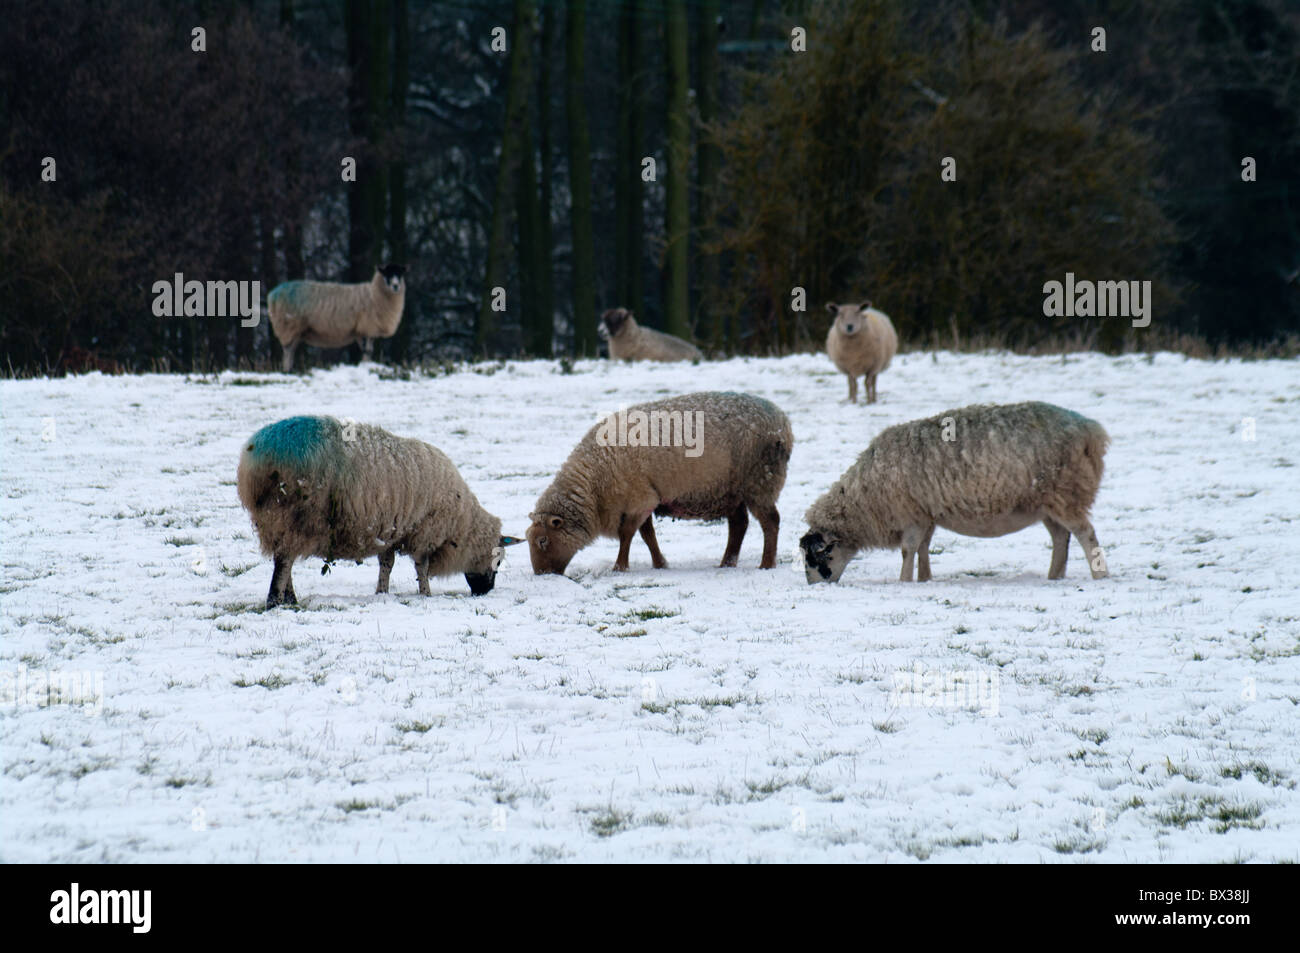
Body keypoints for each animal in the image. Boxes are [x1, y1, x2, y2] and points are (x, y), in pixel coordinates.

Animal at [236, 415, 521, 606]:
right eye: (497, 561)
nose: (485, 591)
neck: (460, 524)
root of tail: (255, 457)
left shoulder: (392, 528)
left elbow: (387, 564)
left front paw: (382, 592)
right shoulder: (425, 531)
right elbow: (421, 566)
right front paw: (426, 593)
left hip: (276, 521)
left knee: (283, 558)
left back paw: (288, 598)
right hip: (293, 515)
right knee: (284, 561)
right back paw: (277, 601)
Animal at [267, 265, 406, 372]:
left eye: (399, 275)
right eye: (388, 274)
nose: (395, 286)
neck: (374, 294)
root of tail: (273, 294)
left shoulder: (366, 330)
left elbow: (367, 350)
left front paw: (367, 365)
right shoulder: (367, 327)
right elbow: (367, 351)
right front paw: (367, 366)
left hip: (296, 330)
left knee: (291, 349)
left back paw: (290, 369)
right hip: (288, 325)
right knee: (287, 350)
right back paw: (287, 370)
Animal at [528, 392, 793, 574]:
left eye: (543, 540)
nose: (541, 575)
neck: (595, 482)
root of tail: (783, 422)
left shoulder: (640, 498)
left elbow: (627, 535)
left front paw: (620, 567)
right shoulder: (644, 498)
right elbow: (647, 535)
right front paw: (660, 563)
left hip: (760, 481)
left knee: (771, 522)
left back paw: (766, 564)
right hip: (731, 490)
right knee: (739, 525)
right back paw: (727, 563)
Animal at [800, 401, 1110, 583]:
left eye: (815, 557)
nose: (814, 586)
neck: (863, 497)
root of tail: (1091, 431)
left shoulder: (911, 514)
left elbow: (907, 549)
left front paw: (904, 580)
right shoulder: (925, 514)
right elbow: (923, 547)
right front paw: (924, 578)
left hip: (1065, 493)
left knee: (1085, 534)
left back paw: (1100, 574)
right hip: (1047, 503)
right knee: (1060, 538)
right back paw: (1054, 576)